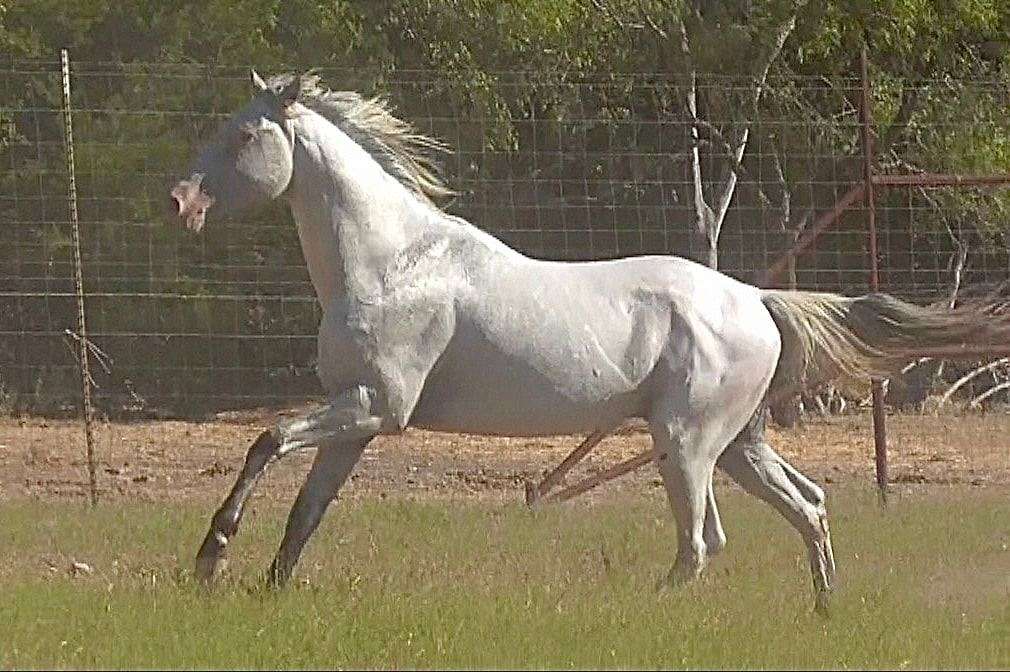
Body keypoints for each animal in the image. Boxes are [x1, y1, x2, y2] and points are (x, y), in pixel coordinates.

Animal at [170, 71, 1004, 611]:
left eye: (245, 135)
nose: (181, 200)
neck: (394, 262)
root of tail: (759, 301)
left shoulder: (376, 406)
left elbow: (266, 441)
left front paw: (210, 560)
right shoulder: (357, 418)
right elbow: (305, 507)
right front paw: (266, 588)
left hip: (686, 442)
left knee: (702, 544)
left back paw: (645, 611)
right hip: (739, 444)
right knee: (809, 506)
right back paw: (825, 611)